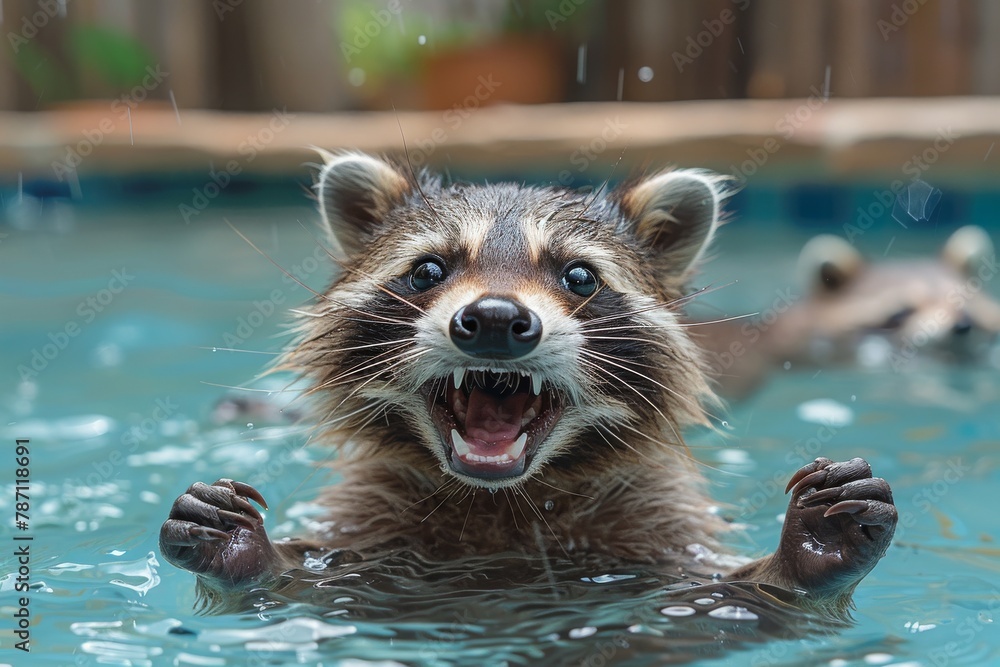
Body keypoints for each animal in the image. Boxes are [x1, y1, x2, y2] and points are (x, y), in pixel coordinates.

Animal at [160, 153, 896, 613]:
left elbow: (719, 598)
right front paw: (251, 553)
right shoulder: (367, 525)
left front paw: (803, 558)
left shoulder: (655, 528)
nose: (492, 319)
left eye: (578, 275)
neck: (501, 499)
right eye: (428, 270)